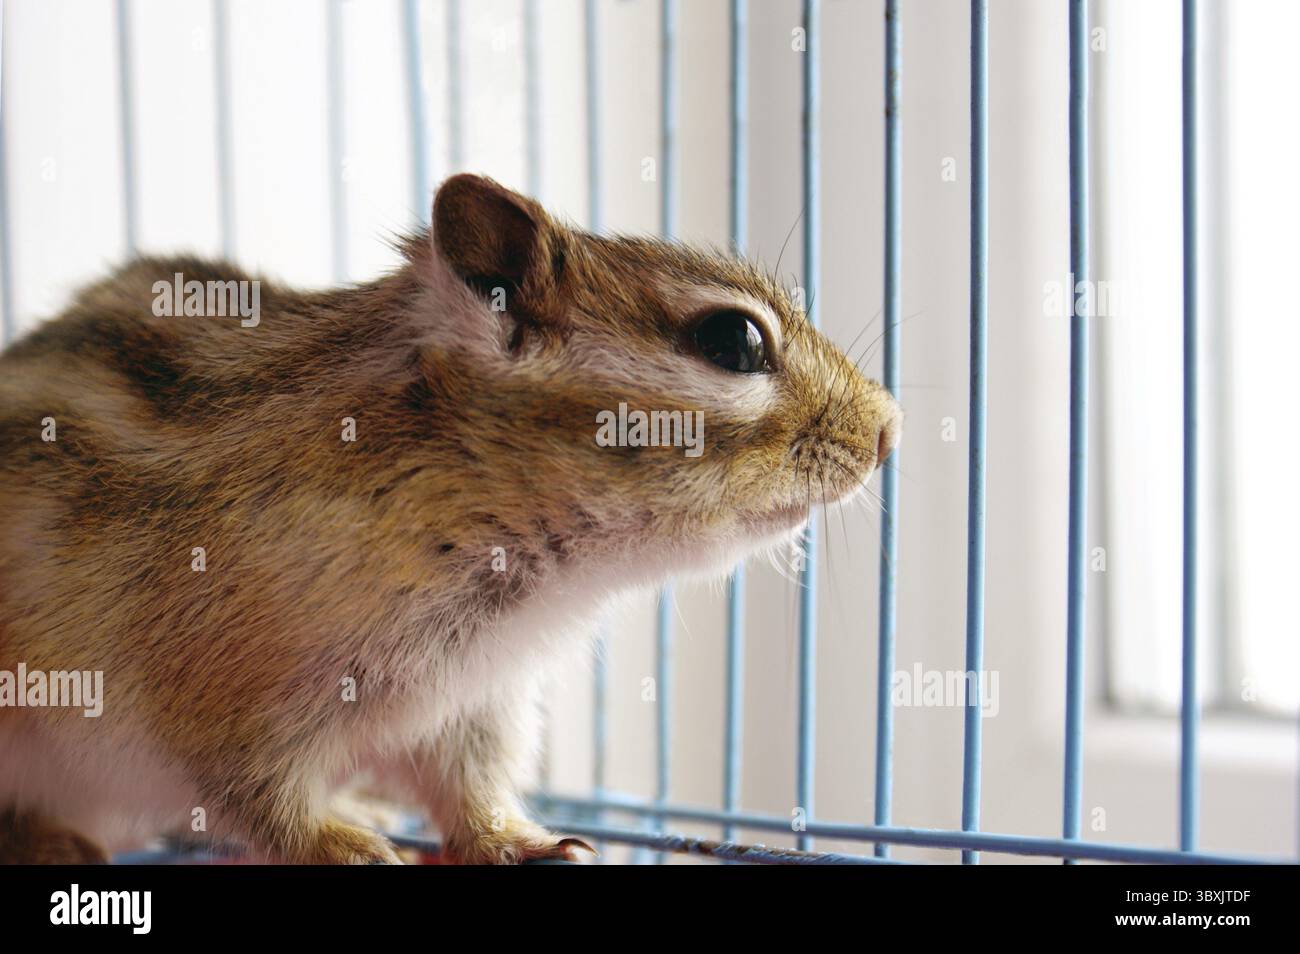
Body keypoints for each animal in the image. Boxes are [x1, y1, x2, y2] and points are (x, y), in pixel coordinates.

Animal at [0, 174, 902, 864]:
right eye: (734, 341)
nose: (889, 429)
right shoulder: (222, 694)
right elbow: (259, 794)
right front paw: (339, 845)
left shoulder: (476, 704)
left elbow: (470, 789)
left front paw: (521, 841)